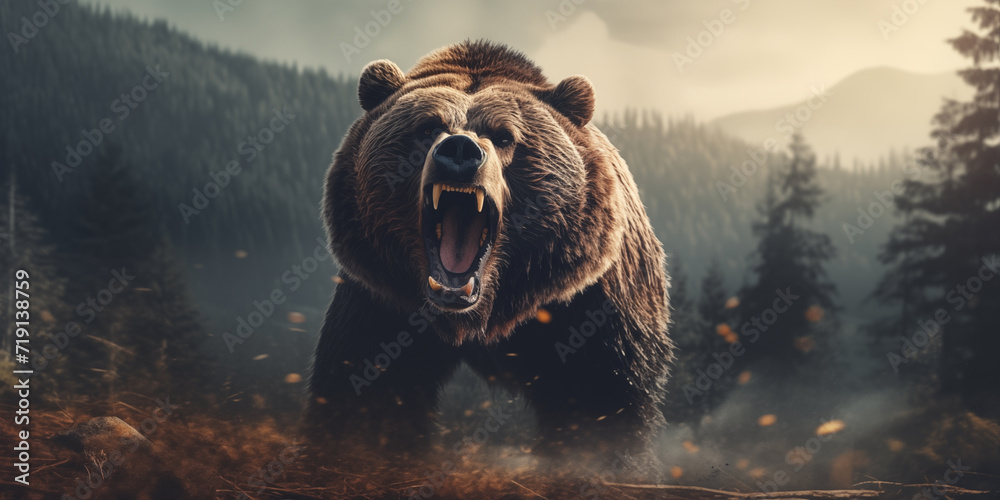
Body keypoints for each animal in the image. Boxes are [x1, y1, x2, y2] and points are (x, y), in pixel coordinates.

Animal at [309, 40, 672, 466]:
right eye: (427, 127)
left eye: (504, 136)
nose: (459, 150)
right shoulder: (380, 301)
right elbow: (366, 397)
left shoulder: (589, 308)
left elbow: (602, 402)